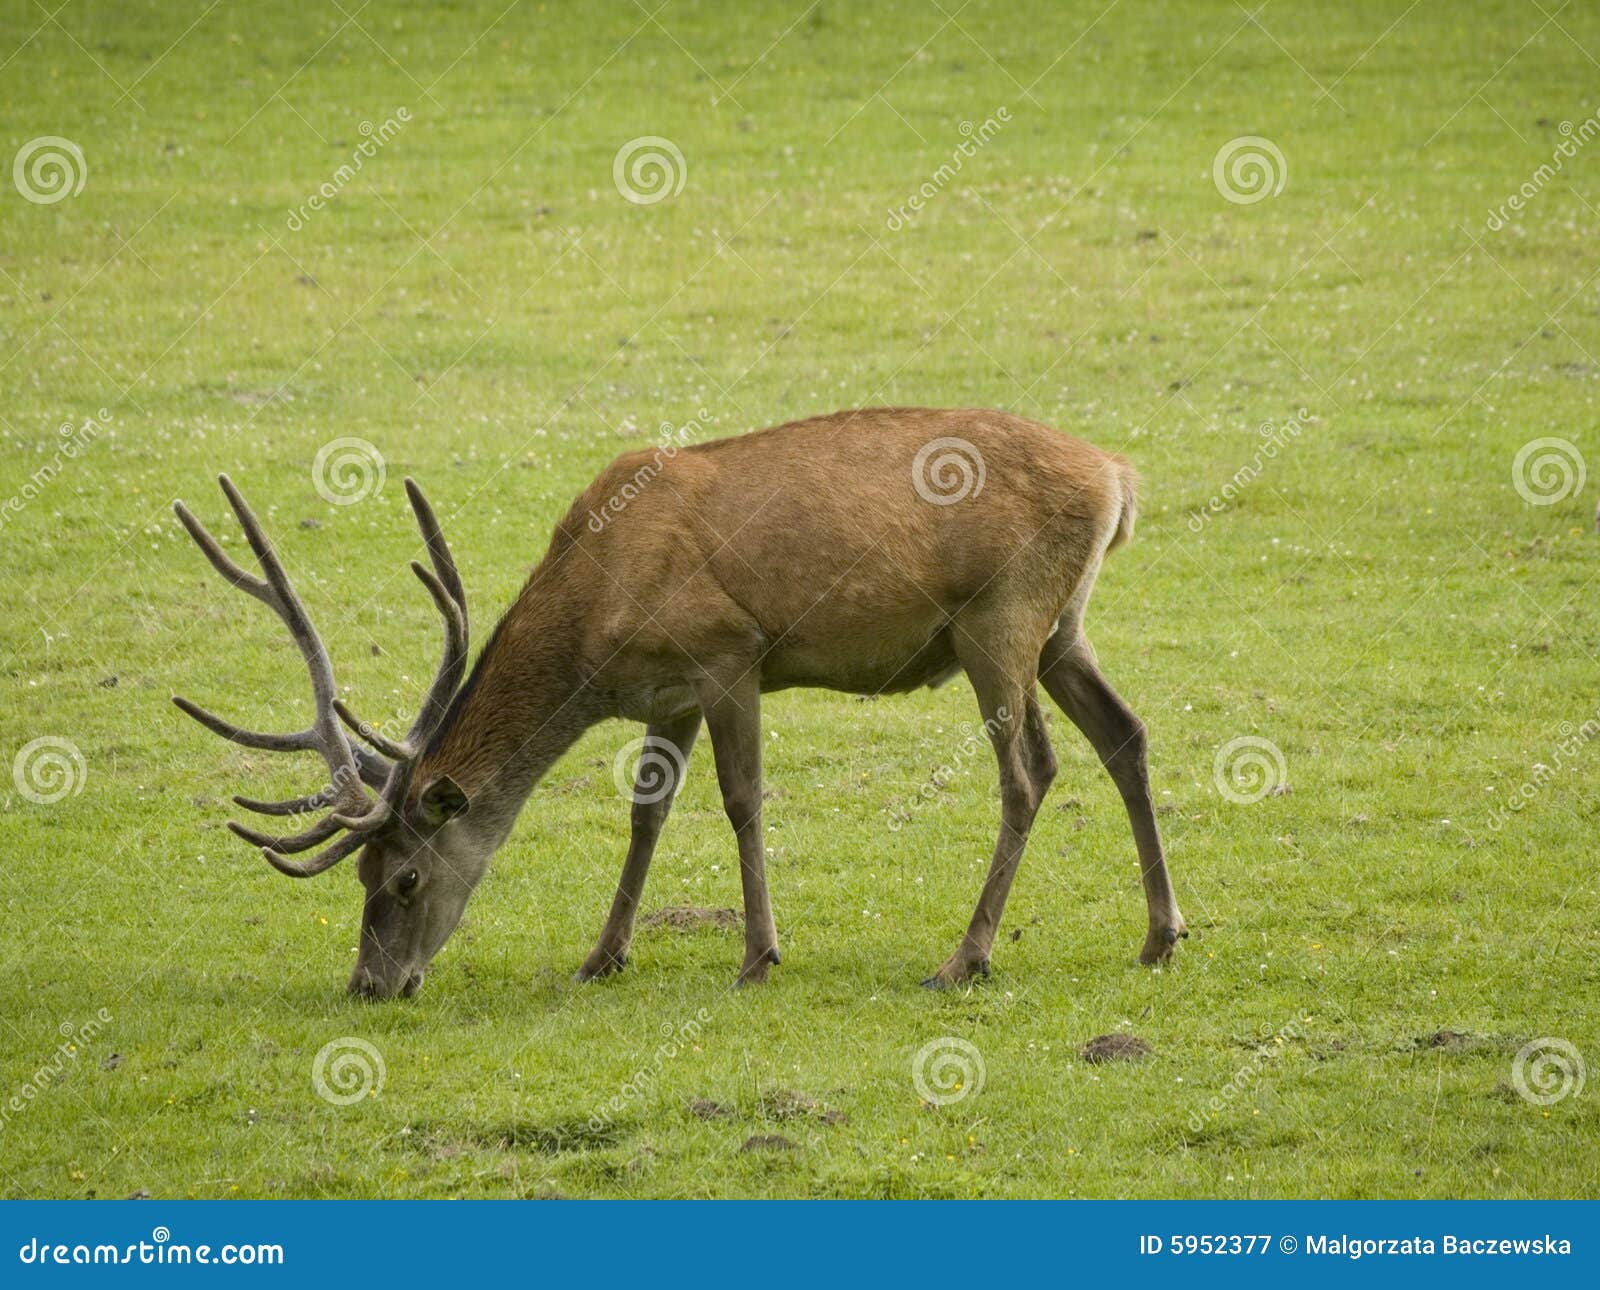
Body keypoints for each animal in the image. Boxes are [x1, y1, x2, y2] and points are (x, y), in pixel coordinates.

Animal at [173, 407, 1186, 999]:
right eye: (360, 876)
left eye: (406, 879)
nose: (369, 984)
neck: (595, 618)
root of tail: (1119, 477)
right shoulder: (667, 692)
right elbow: (645, 815)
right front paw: (602, 955)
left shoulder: (728, 652)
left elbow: (741, 801)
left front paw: (758, 955)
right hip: (1060, 628)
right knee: (1126, 736)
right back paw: (1160, 935)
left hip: (998, 617)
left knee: (1030, 770)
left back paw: (965, 958)